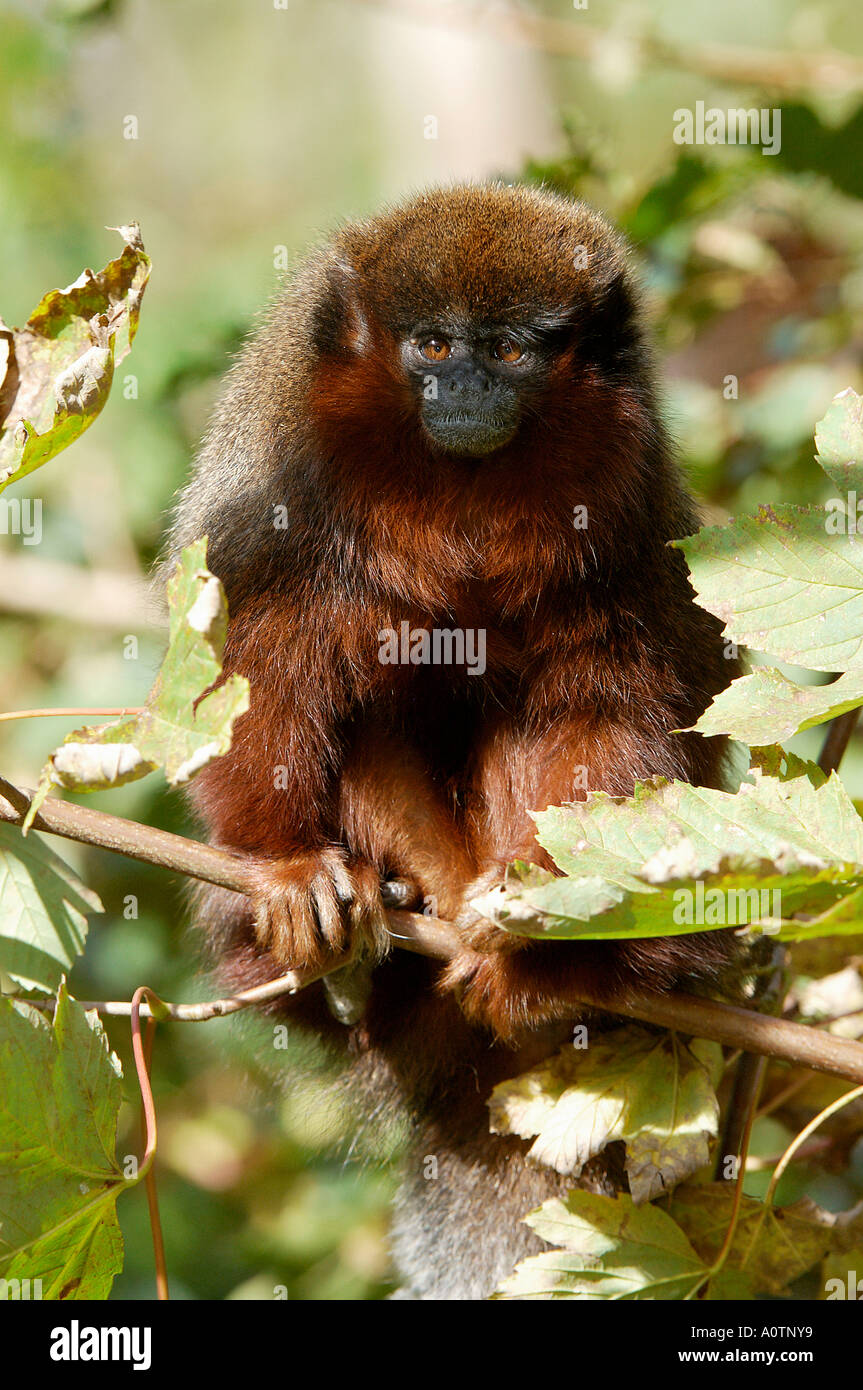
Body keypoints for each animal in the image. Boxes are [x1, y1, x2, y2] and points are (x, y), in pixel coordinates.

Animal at [165, 182, 742, 1299]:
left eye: (510, 352)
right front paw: (287, 865)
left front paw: (538, 925)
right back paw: (373, 924)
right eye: (432, 345)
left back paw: (518, 954)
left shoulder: (624, 496)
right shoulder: (290, 479)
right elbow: (254, 659)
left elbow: (610, 706)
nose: (465, 388)